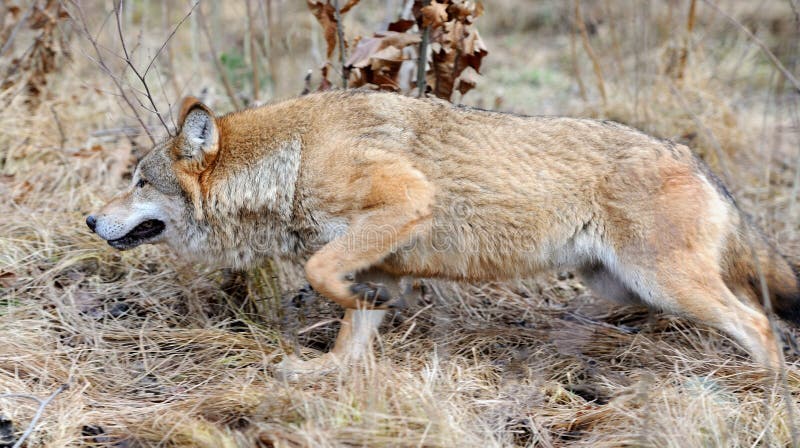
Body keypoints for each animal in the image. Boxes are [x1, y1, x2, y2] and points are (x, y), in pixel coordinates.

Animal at [86, 90, 800, 371]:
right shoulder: (376, 264)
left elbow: (321, 274)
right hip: (621, 286)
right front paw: (325, 376)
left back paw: (762, 389)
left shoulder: (406, 201)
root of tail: (693, 157)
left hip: (664, 283)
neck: (292, 160)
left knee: (759, 323)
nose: (90, 219)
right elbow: (351, 332)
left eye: (139, 182)